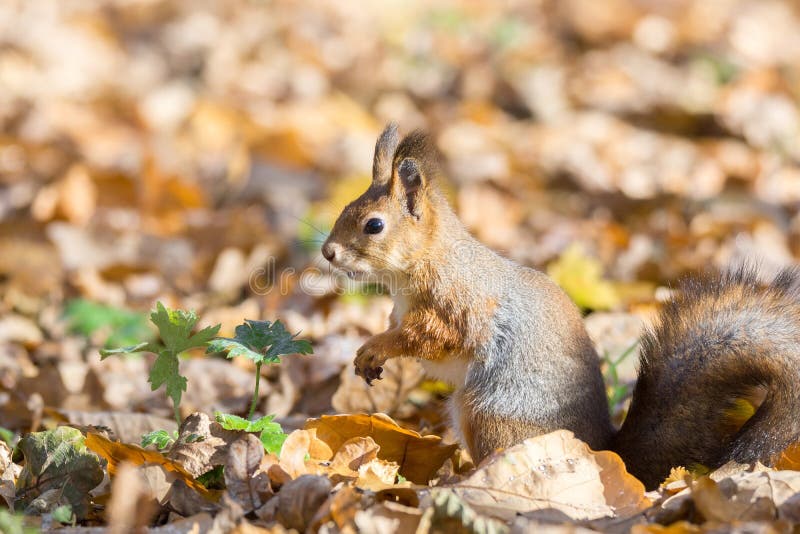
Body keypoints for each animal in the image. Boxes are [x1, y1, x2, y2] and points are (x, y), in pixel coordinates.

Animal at [321, 123, 800, 489]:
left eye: (374, 225)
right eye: (344, 208)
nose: (327, 252)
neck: (428, 260)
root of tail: (605, 452)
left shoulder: (457, 304)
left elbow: (430, 336)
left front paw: (376, 347)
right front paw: (371, 349)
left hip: (488, 413)